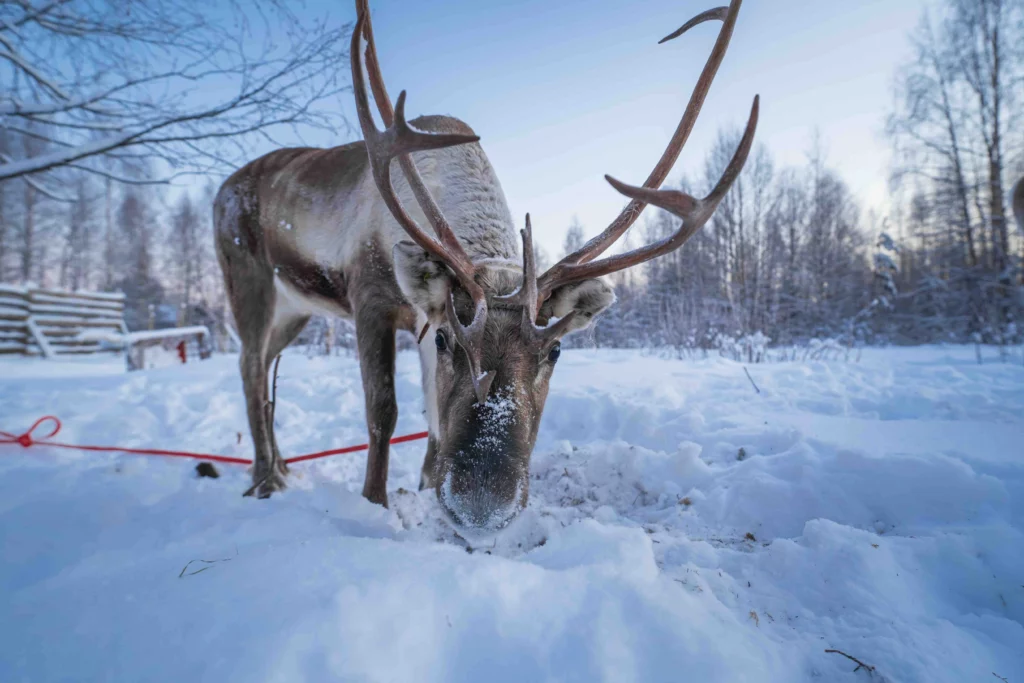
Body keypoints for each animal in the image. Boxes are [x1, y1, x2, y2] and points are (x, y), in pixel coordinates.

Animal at [213, 0, 758, 536]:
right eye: (445, 340)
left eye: (556, 349)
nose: (481, 506)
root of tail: (223, 188)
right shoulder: (373, 300)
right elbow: (383, 409)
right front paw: (374, 505)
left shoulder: (424, 310)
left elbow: (433, 417)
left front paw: (428, 487)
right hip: (248, 281)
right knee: (250, 368)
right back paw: (264, 479)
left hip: (295, 309)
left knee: (262, 364)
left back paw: (282, 468)